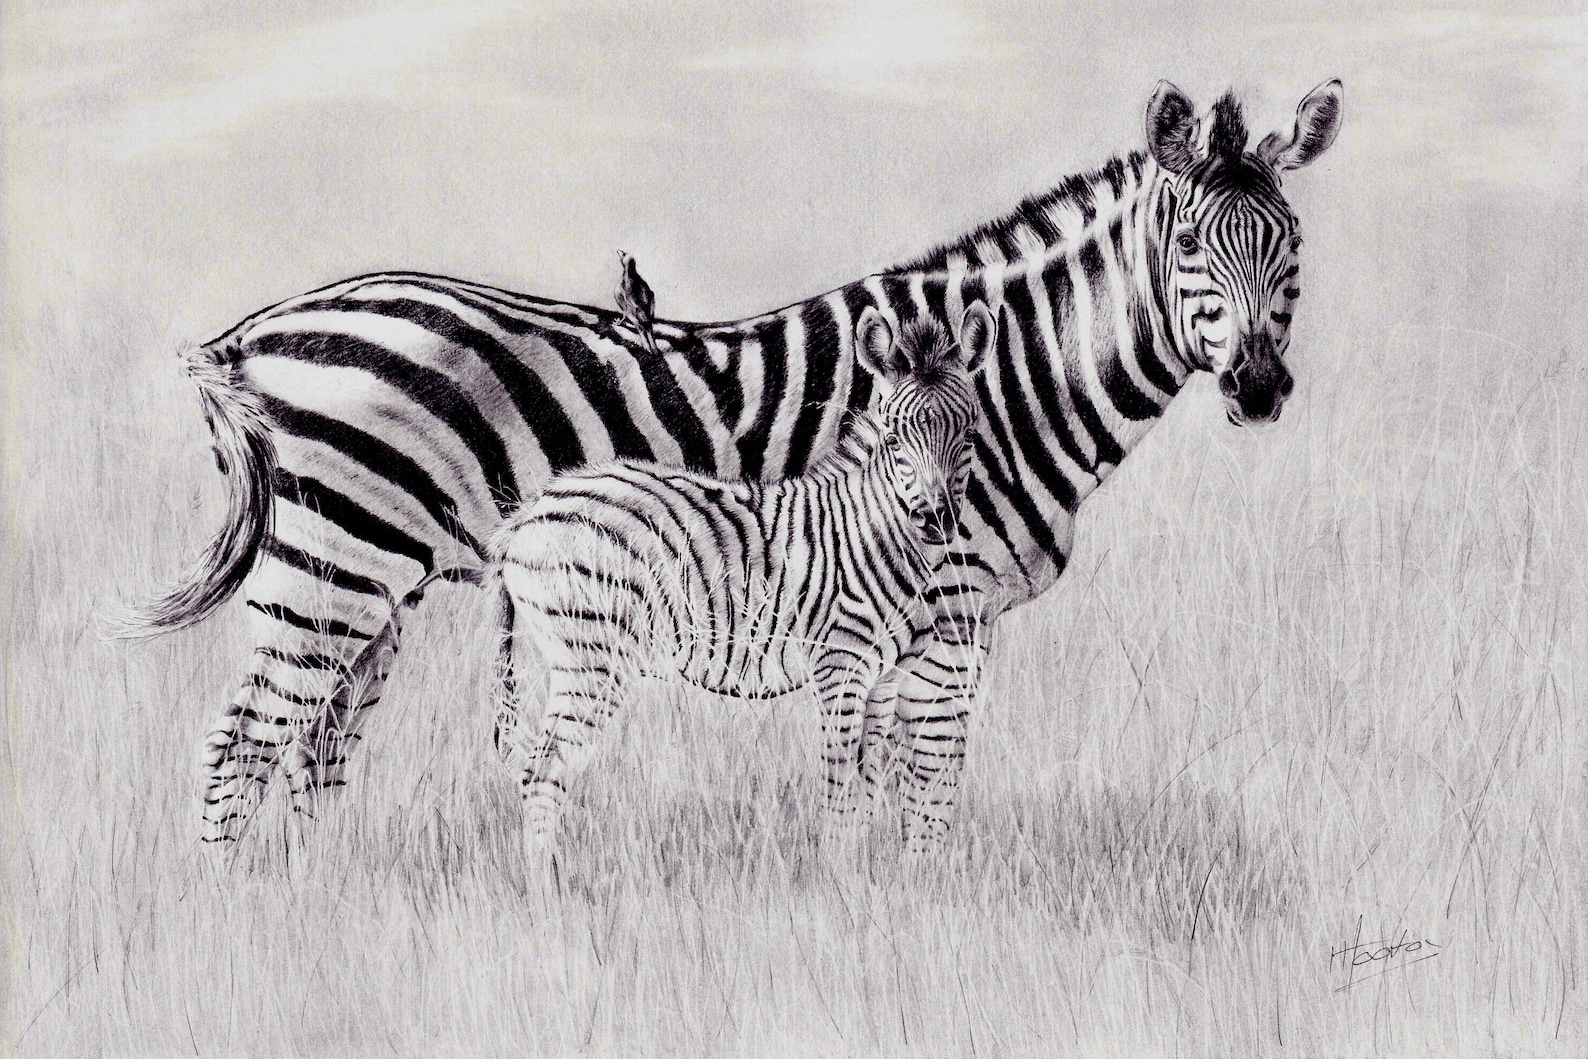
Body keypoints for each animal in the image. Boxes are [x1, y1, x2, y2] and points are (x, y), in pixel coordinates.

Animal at [492, 304, 992, 845]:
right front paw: (837, 865)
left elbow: (867, 789)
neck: (872, 533)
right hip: (592, 658)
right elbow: (839, 795)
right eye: (894, 439)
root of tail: (533, 508)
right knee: (542, 772)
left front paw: (866, 865)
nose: (936, 518)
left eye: (968, 434)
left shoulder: (883, 678)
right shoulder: (839, 667)